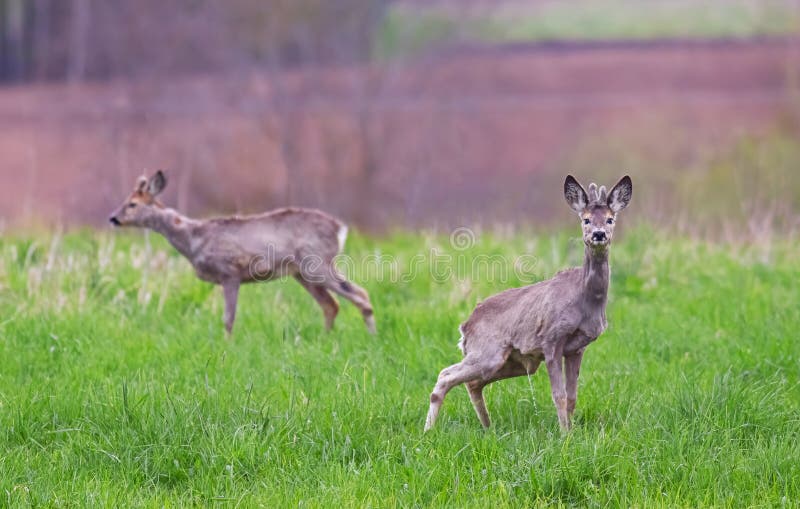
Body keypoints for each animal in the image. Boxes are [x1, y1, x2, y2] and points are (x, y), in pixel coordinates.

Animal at [109, 170, 376, 335]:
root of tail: (340, 228)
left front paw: (226, 347)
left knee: (360, 294)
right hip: (302, 273)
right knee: (331, 305)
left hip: (318, 262)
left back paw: (371, 337)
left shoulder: (230, 272)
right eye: (124, 201)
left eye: (132, 204)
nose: (113, 218)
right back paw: (326, 338)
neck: (193, 238)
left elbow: (228, 319)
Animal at [424, 175, 632, 432]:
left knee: (473, 383)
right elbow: (559, 395)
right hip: (487, 352)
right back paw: (428, 430)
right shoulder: (551, 339)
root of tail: (465, 326)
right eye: (585, 220)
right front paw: (565, 435)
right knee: (446, 375)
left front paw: (572, 431)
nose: (599, 234)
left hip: (509, 361)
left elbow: (572, 396)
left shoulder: (577, 348)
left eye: (610, 219)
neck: (584, 300)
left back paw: (488, 428)